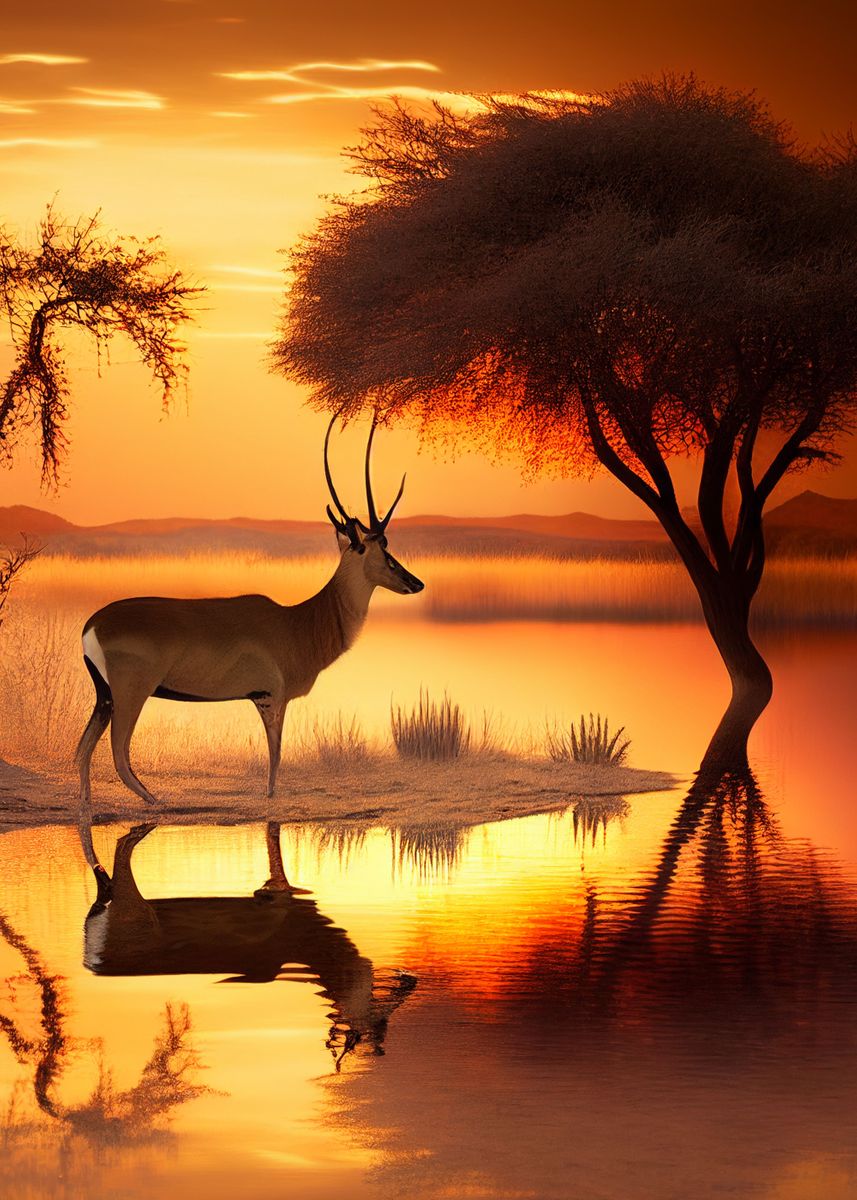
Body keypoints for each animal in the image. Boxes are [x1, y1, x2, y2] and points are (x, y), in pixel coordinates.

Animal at [76, 415, 424, 807]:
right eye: (381, 547)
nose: (415, 583)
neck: (300, 623)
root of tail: (92, 625)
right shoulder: (271, 698)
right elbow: (275, 761)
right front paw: (270, 799)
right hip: (131, 693)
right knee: (118, 753)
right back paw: (159, 802)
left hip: (105, 697)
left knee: (83, 749)